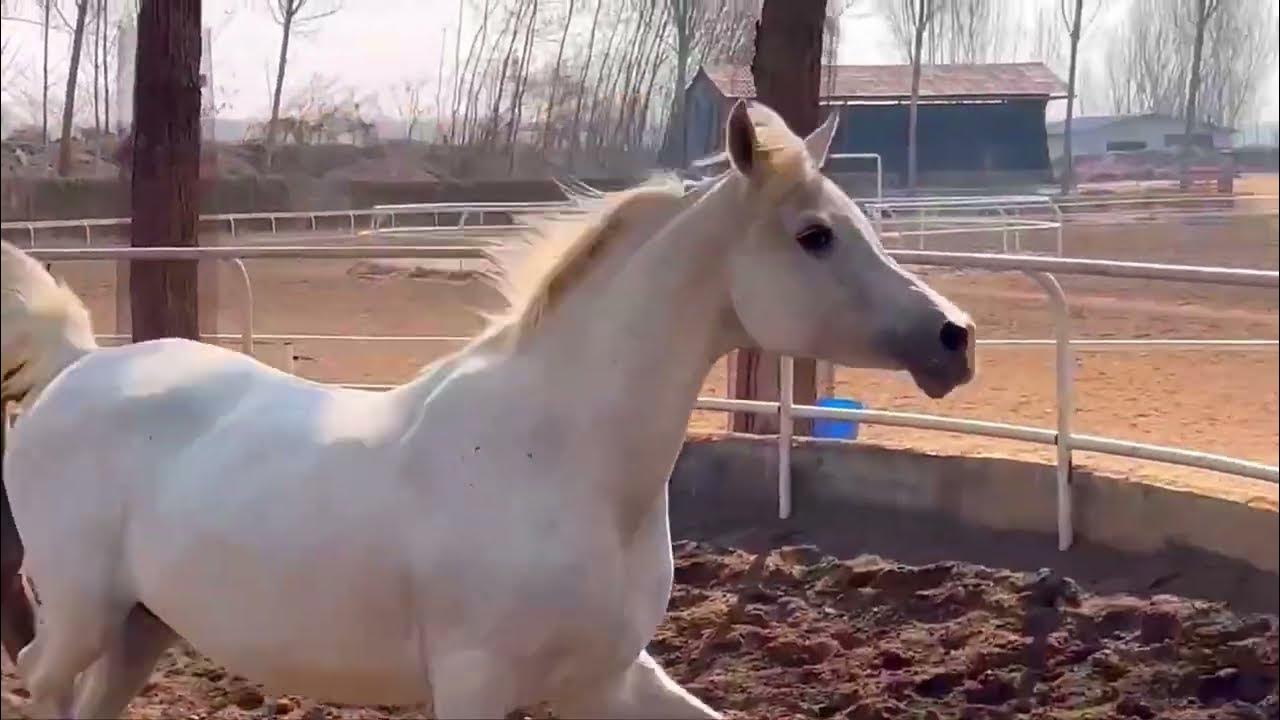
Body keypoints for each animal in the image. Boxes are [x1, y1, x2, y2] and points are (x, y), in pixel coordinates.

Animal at [0, 100, 976, 719]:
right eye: (815, 236)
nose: (954, 337)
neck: (561, 463)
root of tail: (78, 368)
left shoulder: (610, 679)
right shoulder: (476, 683)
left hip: (141, 626)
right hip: (83, 608)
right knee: (38, 680)